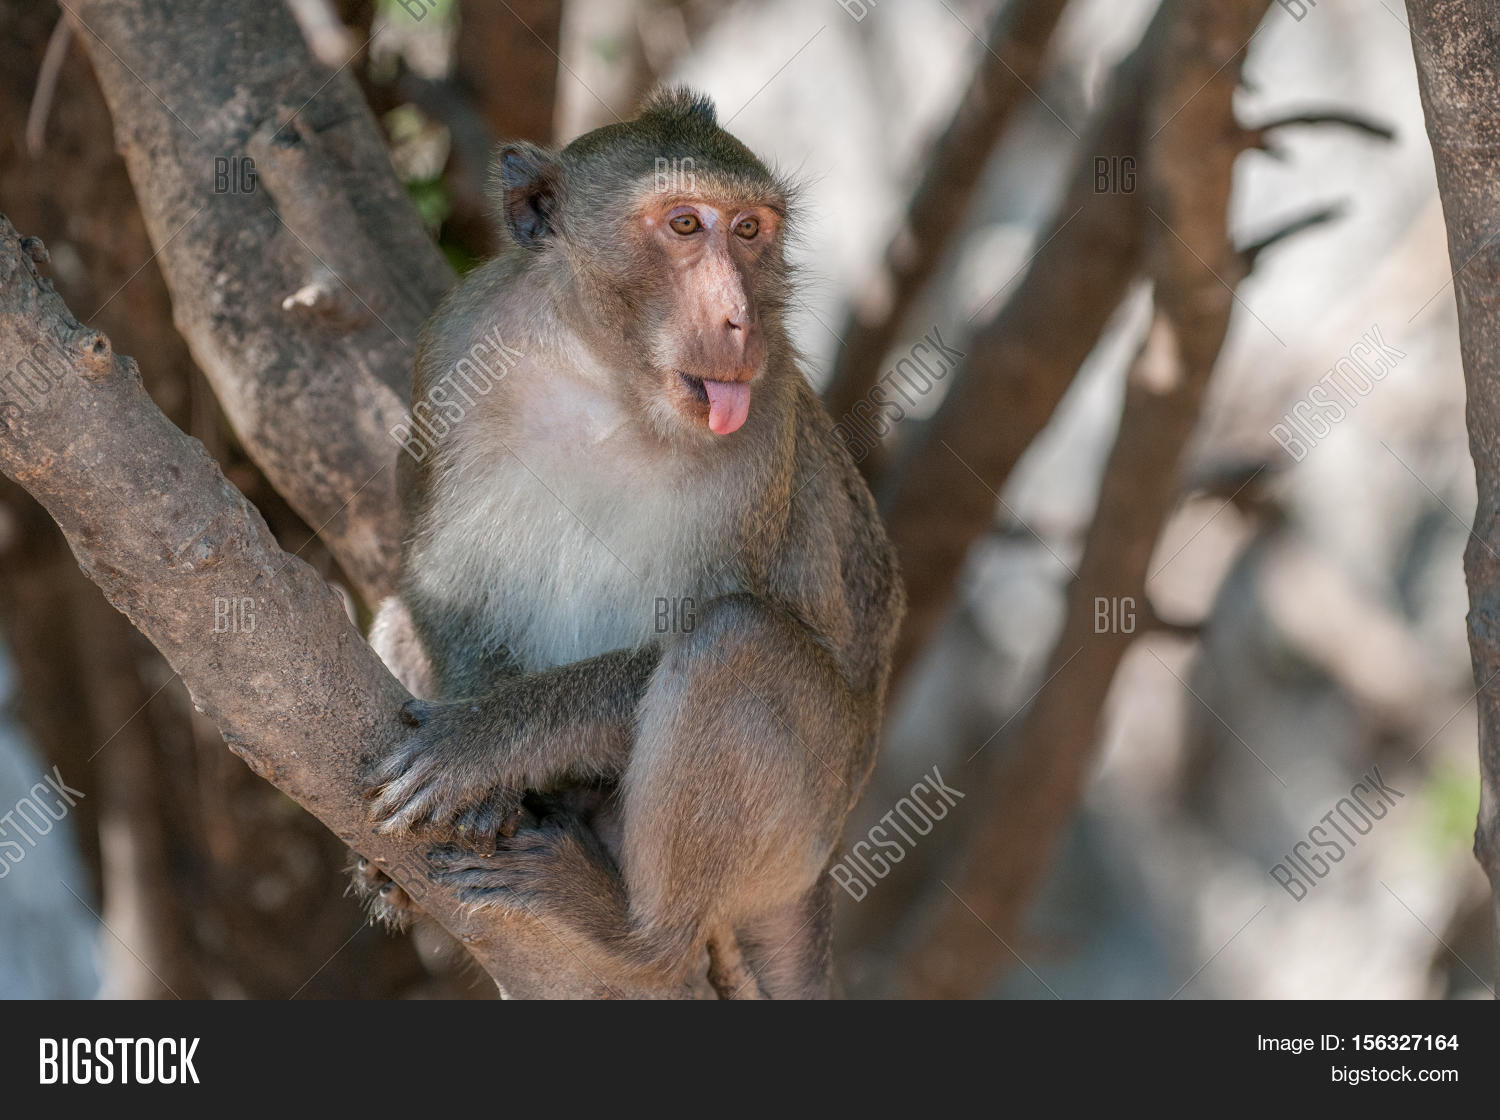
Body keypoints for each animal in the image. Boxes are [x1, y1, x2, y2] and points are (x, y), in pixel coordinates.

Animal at [358, 88, 904, 999]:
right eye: (684, 224)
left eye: (749, 230)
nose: (738, 318)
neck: (605, 376)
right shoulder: (454, 346)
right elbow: (433, 585)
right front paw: (477, 723)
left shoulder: (763, 428)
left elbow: (689, 632)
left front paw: (485, 740)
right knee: (398, 610)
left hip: (804, 816)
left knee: (735, 639)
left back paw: (636, 935)